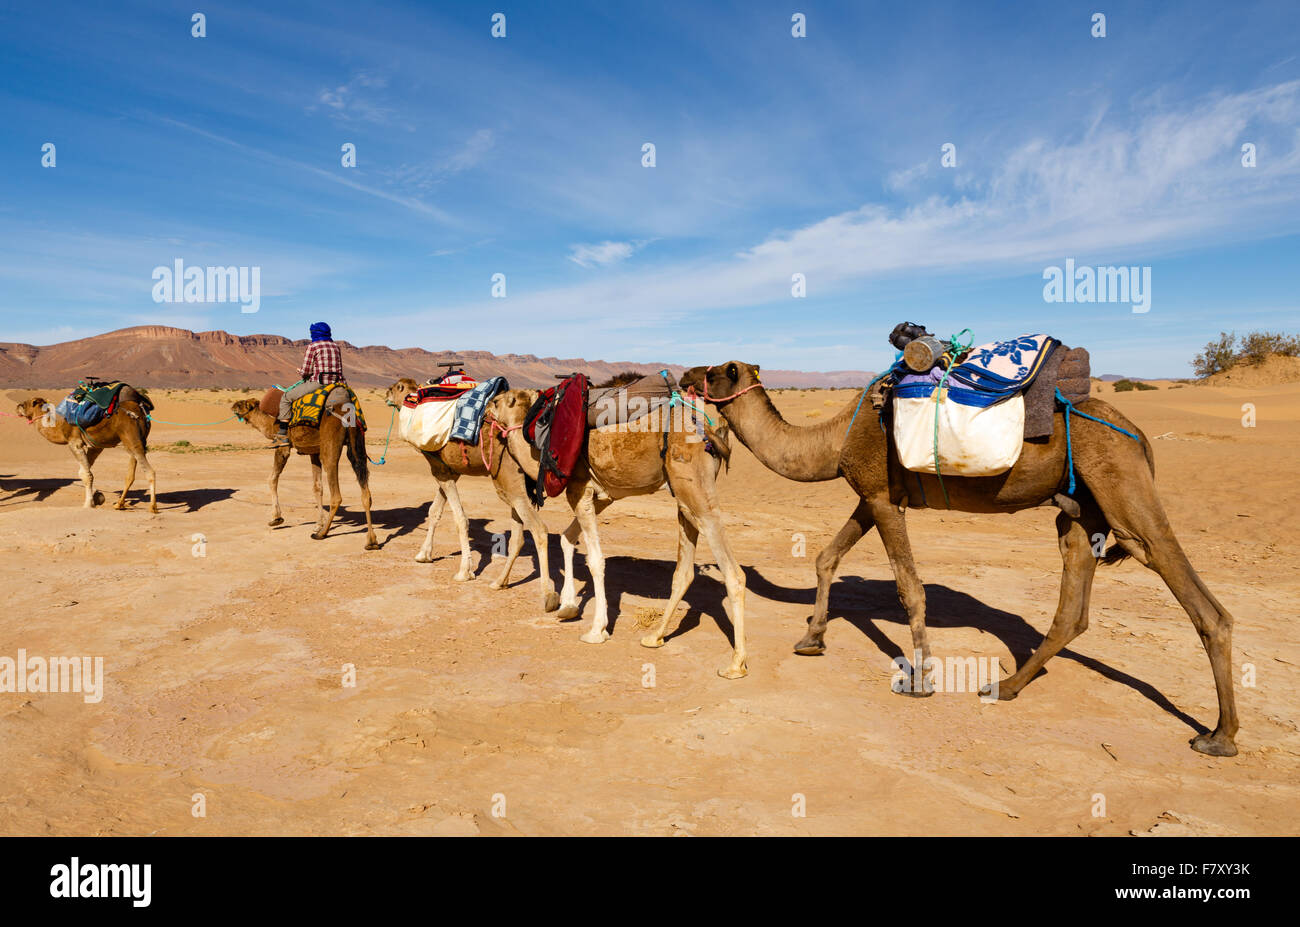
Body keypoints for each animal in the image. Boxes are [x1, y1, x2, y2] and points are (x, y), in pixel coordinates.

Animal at [16, 391, 157, 513]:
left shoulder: (74, 442)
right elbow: (83, 472)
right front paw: (98, 496)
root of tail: (141, 413)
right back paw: (119, 504)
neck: (59, 426)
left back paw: (153, 507)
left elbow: (87, 474)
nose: (17, 407)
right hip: (135, 440)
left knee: (150, 471)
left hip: (131, 436)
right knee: (130, 474)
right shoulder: (96, 445)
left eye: (26, 403)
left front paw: (88, 504)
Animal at [231, 393, 378, 550]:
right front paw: (318, 524)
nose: (232, 406)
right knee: (365, 490)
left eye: (241, 403)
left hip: (331, 446)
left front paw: (276, 518)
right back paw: (371, 541)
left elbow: (272, 479)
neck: (270, 424)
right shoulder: (314, 452)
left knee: (336, 494)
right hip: (358, 446)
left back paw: (321, 534)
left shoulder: (283, 447)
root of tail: (348, 416)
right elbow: (317, 487)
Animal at [383, 378, 560, 613]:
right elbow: (434, 510)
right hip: (511, 481)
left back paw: (549, 596)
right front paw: (423, 555)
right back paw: (500, 582)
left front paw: (464, 572)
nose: (385, 394)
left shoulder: (440, 469)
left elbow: (459, 518)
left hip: (508, 475)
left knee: (539, 529)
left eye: (394, 388)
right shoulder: (448, 471)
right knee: (519, 535)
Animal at [485, 383, 749, 678]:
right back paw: (655, 637)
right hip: (683, 496)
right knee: (684, 571)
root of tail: (713, 426)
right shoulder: (603, 496)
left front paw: (596, 630)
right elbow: (567, 538)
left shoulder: (579, 490)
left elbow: (595, 560)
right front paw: (567, 606)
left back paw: (736, 663)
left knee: (733, 572)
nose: (485, 411)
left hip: (696, 489)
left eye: (497, 401)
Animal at [680, 362, 1238, 756]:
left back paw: (1219, 735)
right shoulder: (874, 495)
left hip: (1122, 485)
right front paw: (812, 639)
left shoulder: (882, 497)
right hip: (1081, 511)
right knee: (1072, 606)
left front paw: (920, 679)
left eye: (713, 369)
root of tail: (1138, 434)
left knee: (1187, 586)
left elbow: (909, 587)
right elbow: (824, 557)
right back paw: (1006, 686)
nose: (682, 376)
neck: (834, 440)